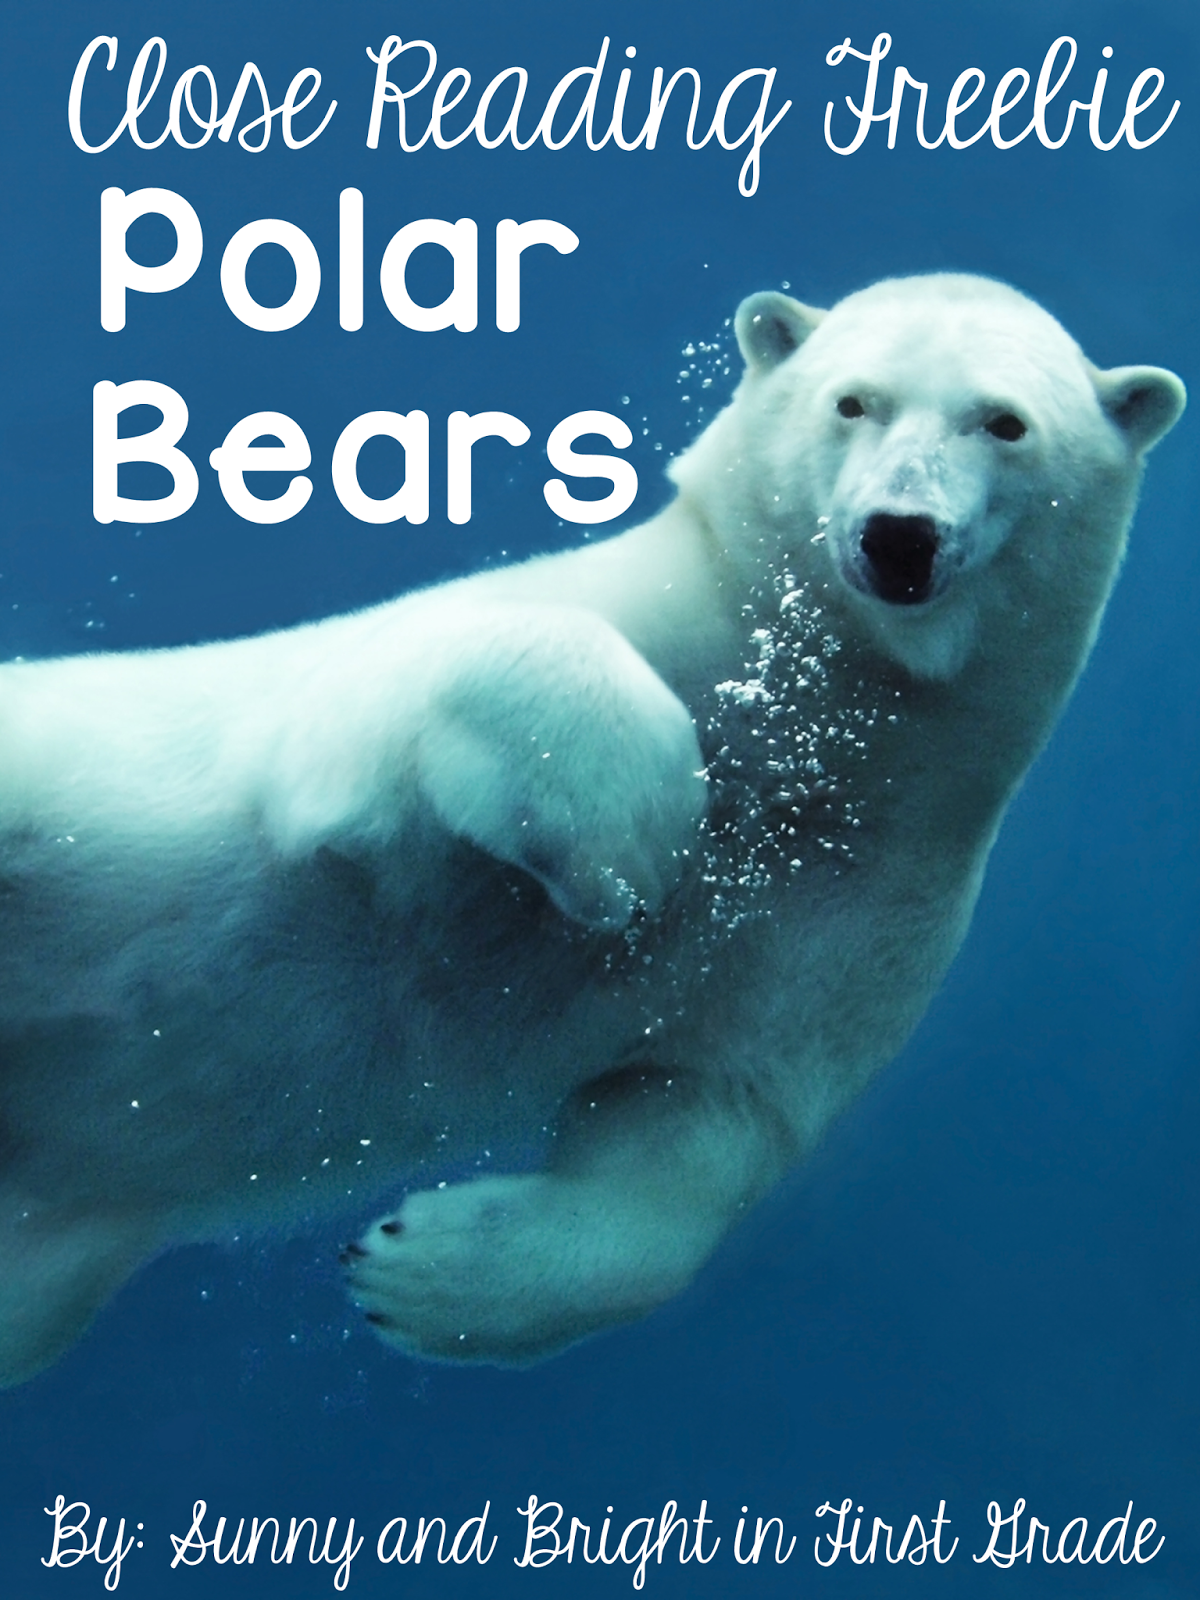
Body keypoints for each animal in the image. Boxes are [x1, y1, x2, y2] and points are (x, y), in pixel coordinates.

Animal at [0, 273, 1184, 1384]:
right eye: (855, 400)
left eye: (1005, 422)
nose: (898, 537)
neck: (818, 719)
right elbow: (411, 700)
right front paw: (638, 842)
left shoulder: (877, 887)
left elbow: (704, 1117)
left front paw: (416, 1271)